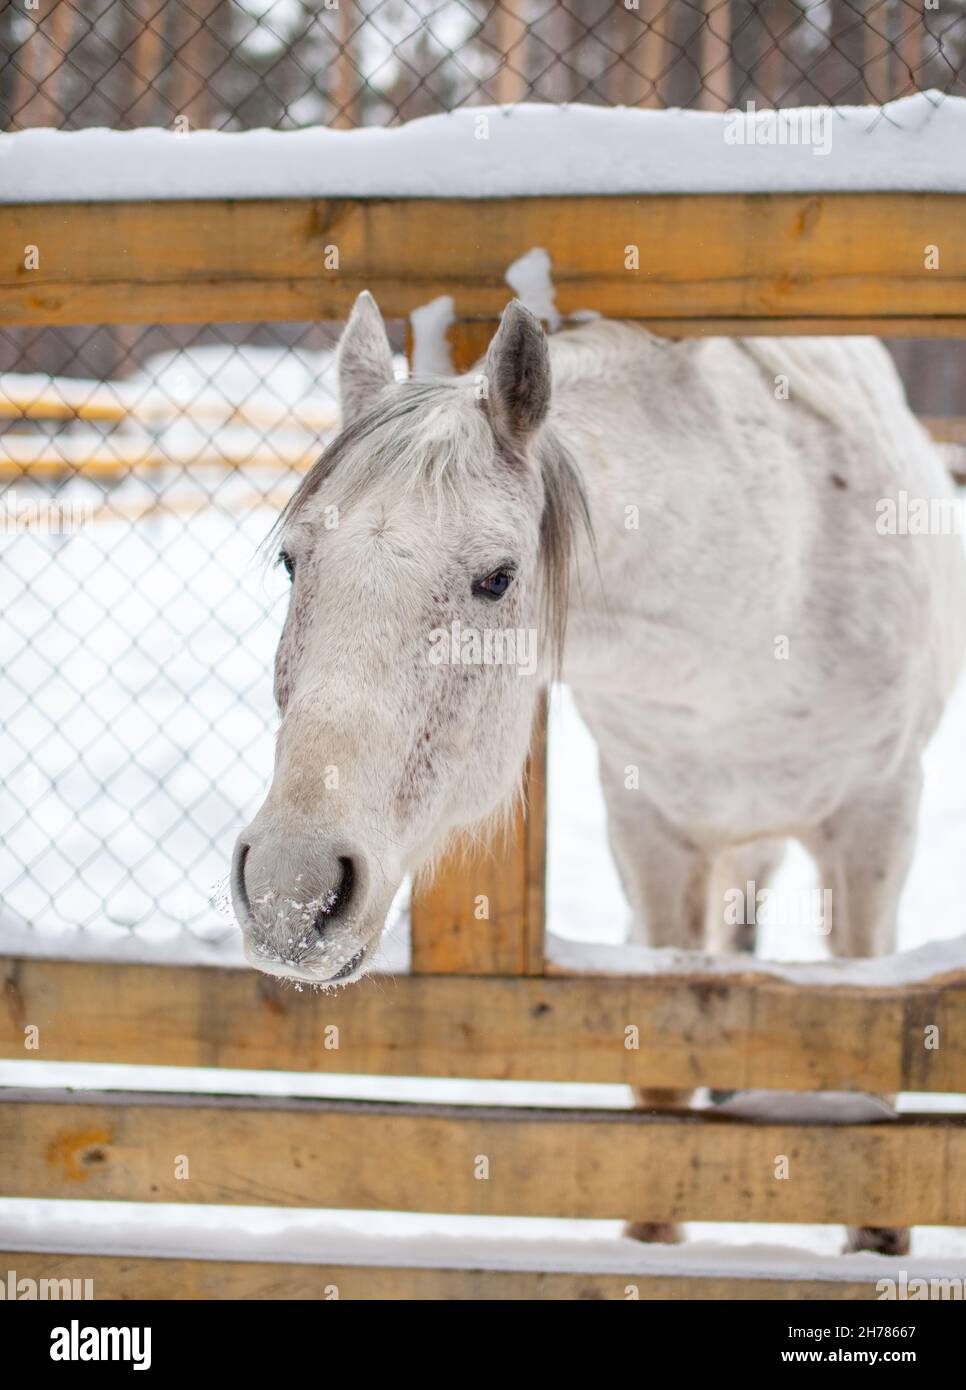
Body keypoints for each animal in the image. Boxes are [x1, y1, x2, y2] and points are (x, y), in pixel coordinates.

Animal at [231, 291, 966, 1252]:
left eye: (497, 579)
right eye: (292, 561)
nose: (290, 888)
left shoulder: (878, 823)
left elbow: (875, 1056)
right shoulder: (650, 834)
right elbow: (661, 1078)